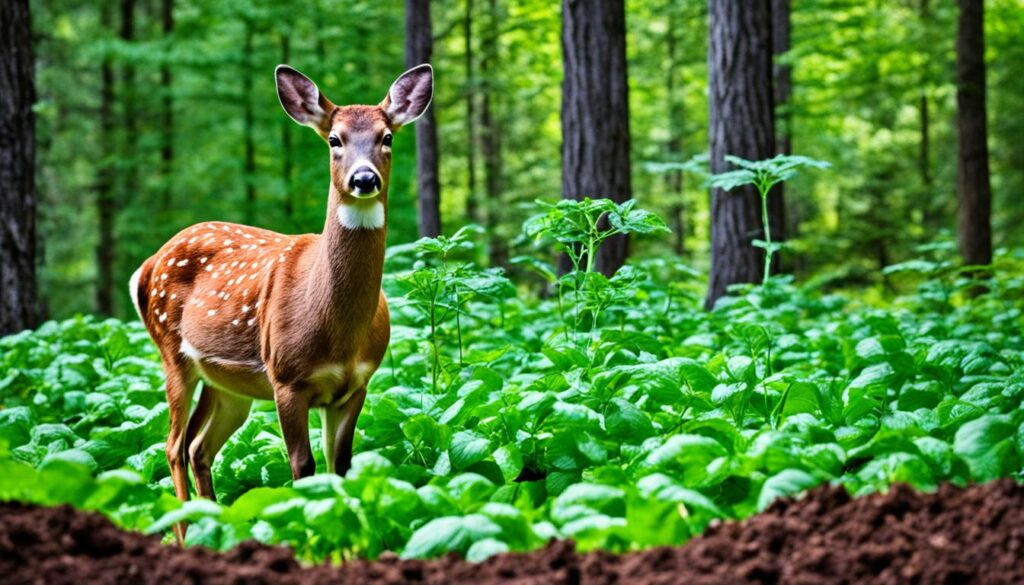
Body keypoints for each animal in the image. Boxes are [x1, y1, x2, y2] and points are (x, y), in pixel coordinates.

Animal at [128, 64, 433, 541]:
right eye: (334, 139)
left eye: (387, 137)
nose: (364, 179)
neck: (339, 335)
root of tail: (147, 265)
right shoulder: (287, 377)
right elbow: (303, 467)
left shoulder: (357, 383)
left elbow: (340, 466)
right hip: (172, 352)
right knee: (173, 445)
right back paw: (185, 537)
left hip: (227, 386)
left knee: (198, 447)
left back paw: (218, 528)